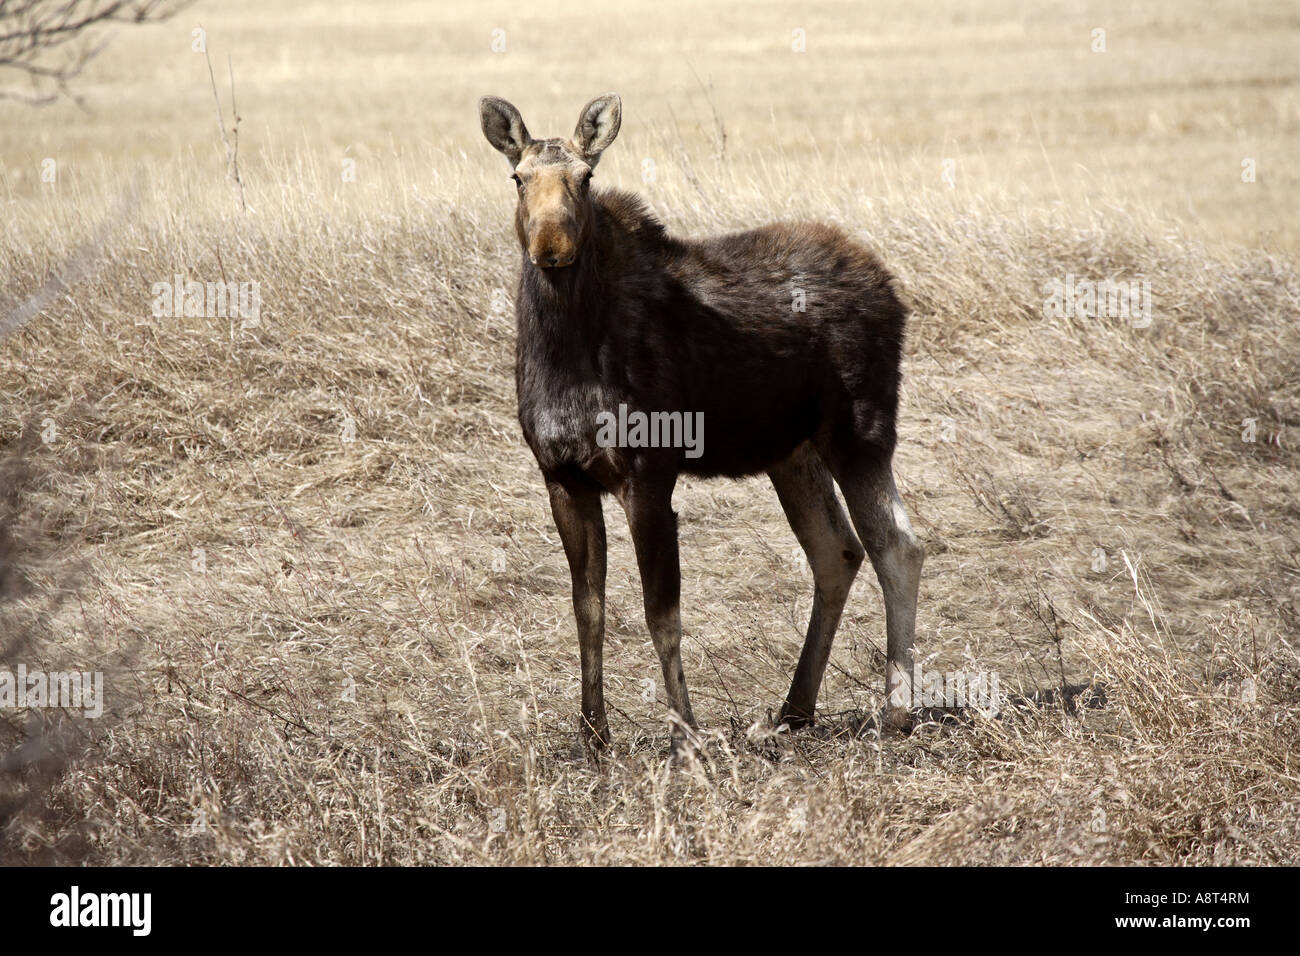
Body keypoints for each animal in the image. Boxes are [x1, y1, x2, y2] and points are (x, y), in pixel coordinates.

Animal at [478, 93, 925, 758]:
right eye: (518, 178)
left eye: (585, 178)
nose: (552, 244)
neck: (563, 351)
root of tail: (892, 289)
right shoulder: (563, 477)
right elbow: (588, 608)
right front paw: (592, 734)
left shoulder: (648, 475)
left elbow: (661, 614)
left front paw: (685, 735)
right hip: (793, 454)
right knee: (837, 551)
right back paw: (794, 709)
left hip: (860, 434)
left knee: (897, 545)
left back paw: (896, 713)